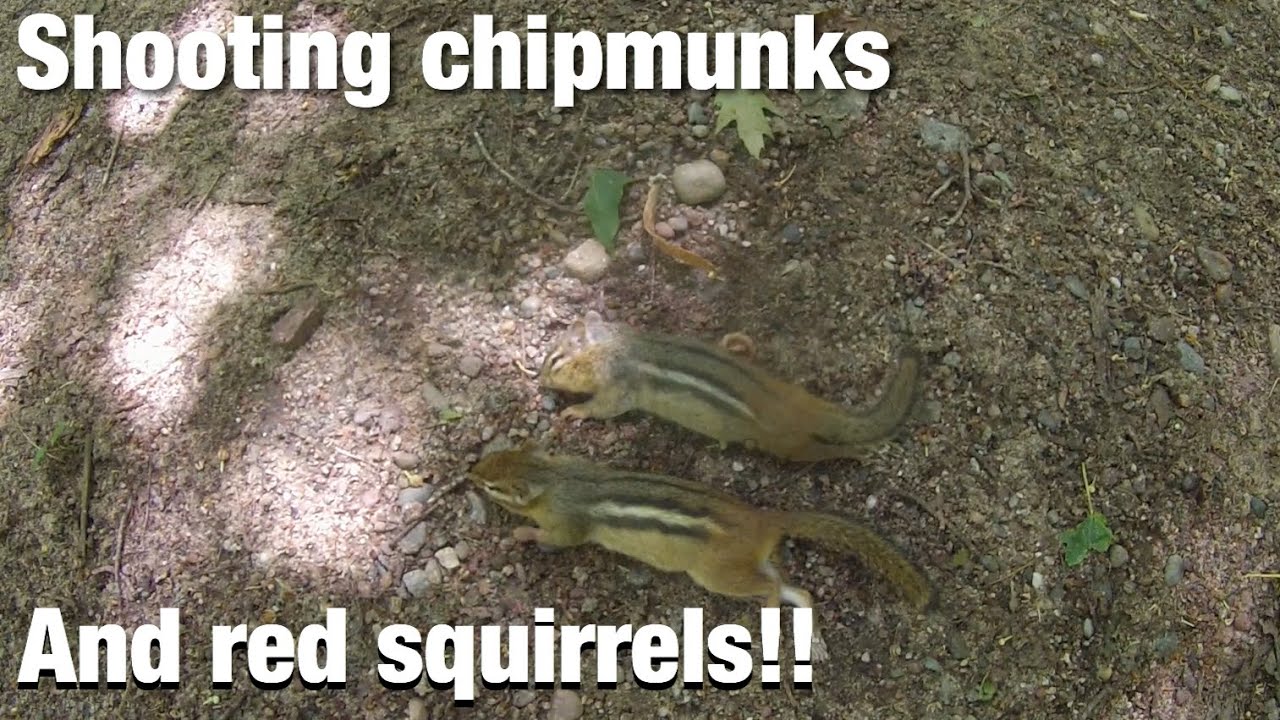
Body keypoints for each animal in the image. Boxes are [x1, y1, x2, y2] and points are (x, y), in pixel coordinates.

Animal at [467, 443, 936, 661]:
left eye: (493, 486)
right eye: (496, 455)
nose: (470, 473)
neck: (554, 477)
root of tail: (764, 519)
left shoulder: (568, 525)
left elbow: (554, 539)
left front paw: (522, 534)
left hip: (716, 575)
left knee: (771, 589)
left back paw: (769, 617)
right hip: (750, 564)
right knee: (797, 590)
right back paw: (815, 640)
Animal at [537, 311, 924, 462]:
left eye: (555, 360)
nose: (540, 382)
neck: (614, 344)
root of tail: (802, 408)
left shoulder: (619, 384)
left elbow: (605, 408)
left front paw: (576, 410)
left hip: (785, 443)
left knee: (816, 452)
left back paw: (852, 452)